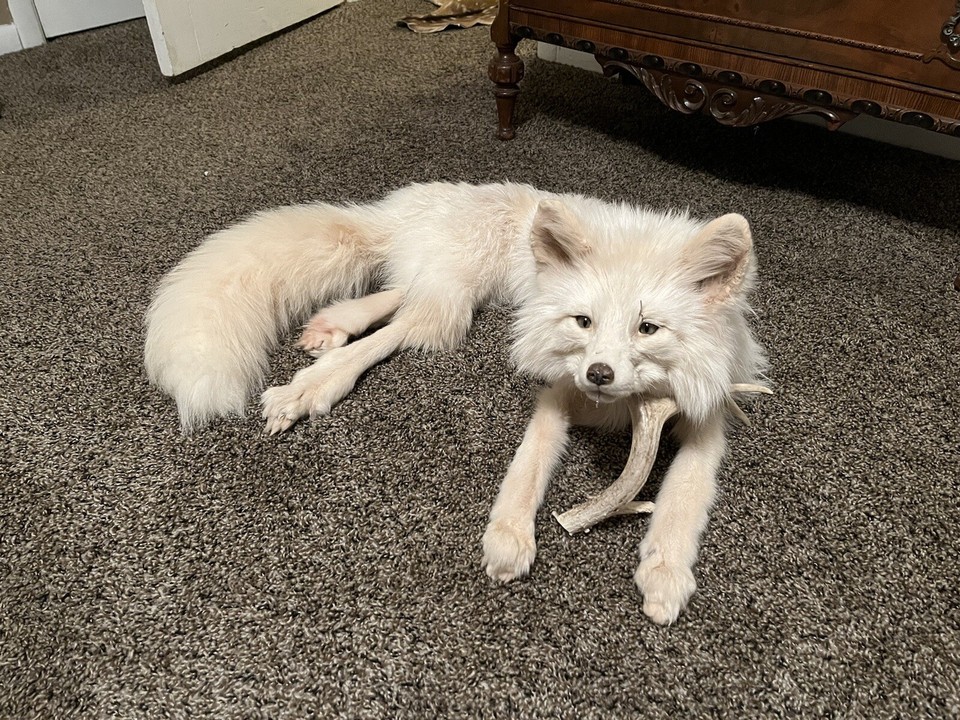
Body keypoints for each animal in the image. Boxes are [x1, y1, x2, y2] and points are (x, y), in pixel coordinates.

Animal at [144, 181, 767, 624]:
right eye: (583, 321)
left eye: (648, 328)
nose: (600, 373)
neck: (624, 406)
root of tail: (419, 207)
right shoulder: (556, 388)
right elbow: (529, 466)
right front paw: (509, 538)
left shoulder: (707, 417)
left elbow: (683, 499)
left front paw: (664, 573)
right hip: (452, 307)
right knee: (394, 326)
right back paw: (310, 384)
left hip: (454, 290)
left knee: (395, 293)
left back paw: (331, 327)